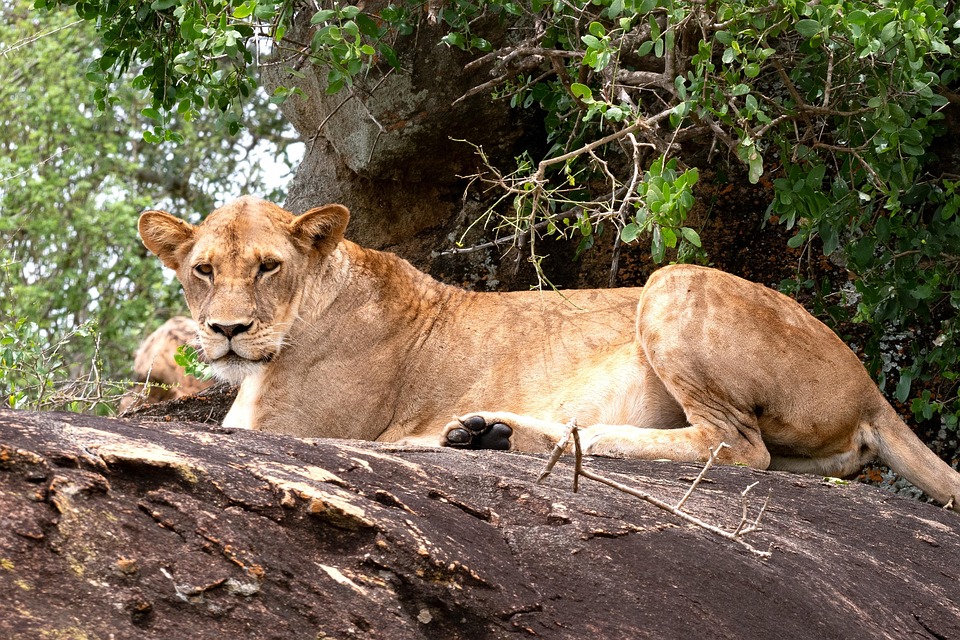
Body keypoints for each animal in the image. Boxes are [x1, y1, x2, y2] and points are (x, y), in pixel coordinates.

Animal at [138, 196, 960, 509]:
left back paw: (517, 435)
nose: (228, 330)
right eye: (203, 269)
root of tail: (870, 389)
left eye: (268, 267)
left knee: (734, 446)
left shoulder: (291, 425)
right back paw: (485, 433)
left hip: (672, 281)